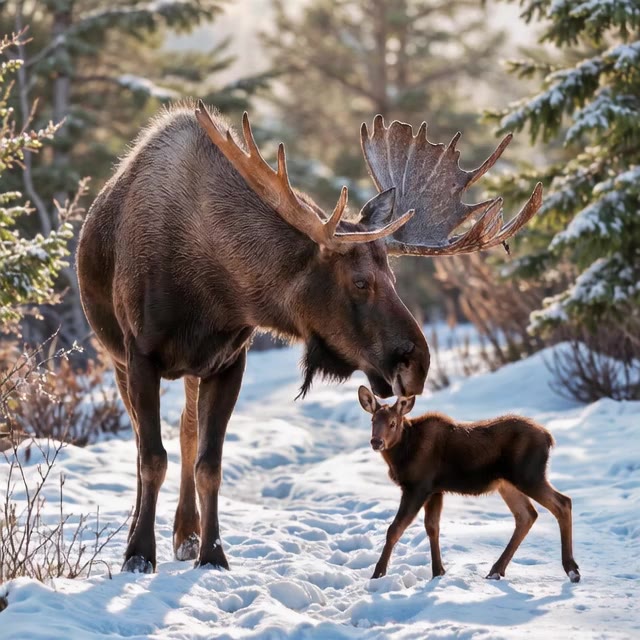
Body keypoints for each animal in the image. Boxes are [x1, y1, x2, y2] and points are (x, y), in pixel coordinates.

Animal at [77, 99, 542, 574]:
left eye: (392, 277)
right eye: (360, 282)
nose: (418, 363)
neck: (215, 290)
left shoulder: (229, 358)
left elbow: (209, 464)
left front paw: (212, 554)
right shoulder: (141, 353)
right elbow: (152, 458)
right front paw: (138, 553)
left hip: (189, 369)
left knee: (187, 435)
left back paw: (186, 533)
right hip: (117, 357)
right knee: (142, 443)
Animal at [358, 386, 580, 583]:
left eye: (393, 423)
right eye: (372, 420)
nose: (376, 442)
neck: (402, 453)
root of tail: (549, 438)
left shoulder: (417, 487)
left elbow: (395, 529)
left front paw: (377, 574)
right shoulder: (435, 490)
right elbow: (432, 527)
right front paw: (438, 572)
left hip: (528, 476)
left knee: (562, 503)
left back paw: (572, 570)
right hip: (508, 484)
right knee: (527, 515)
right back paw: (496, 570)